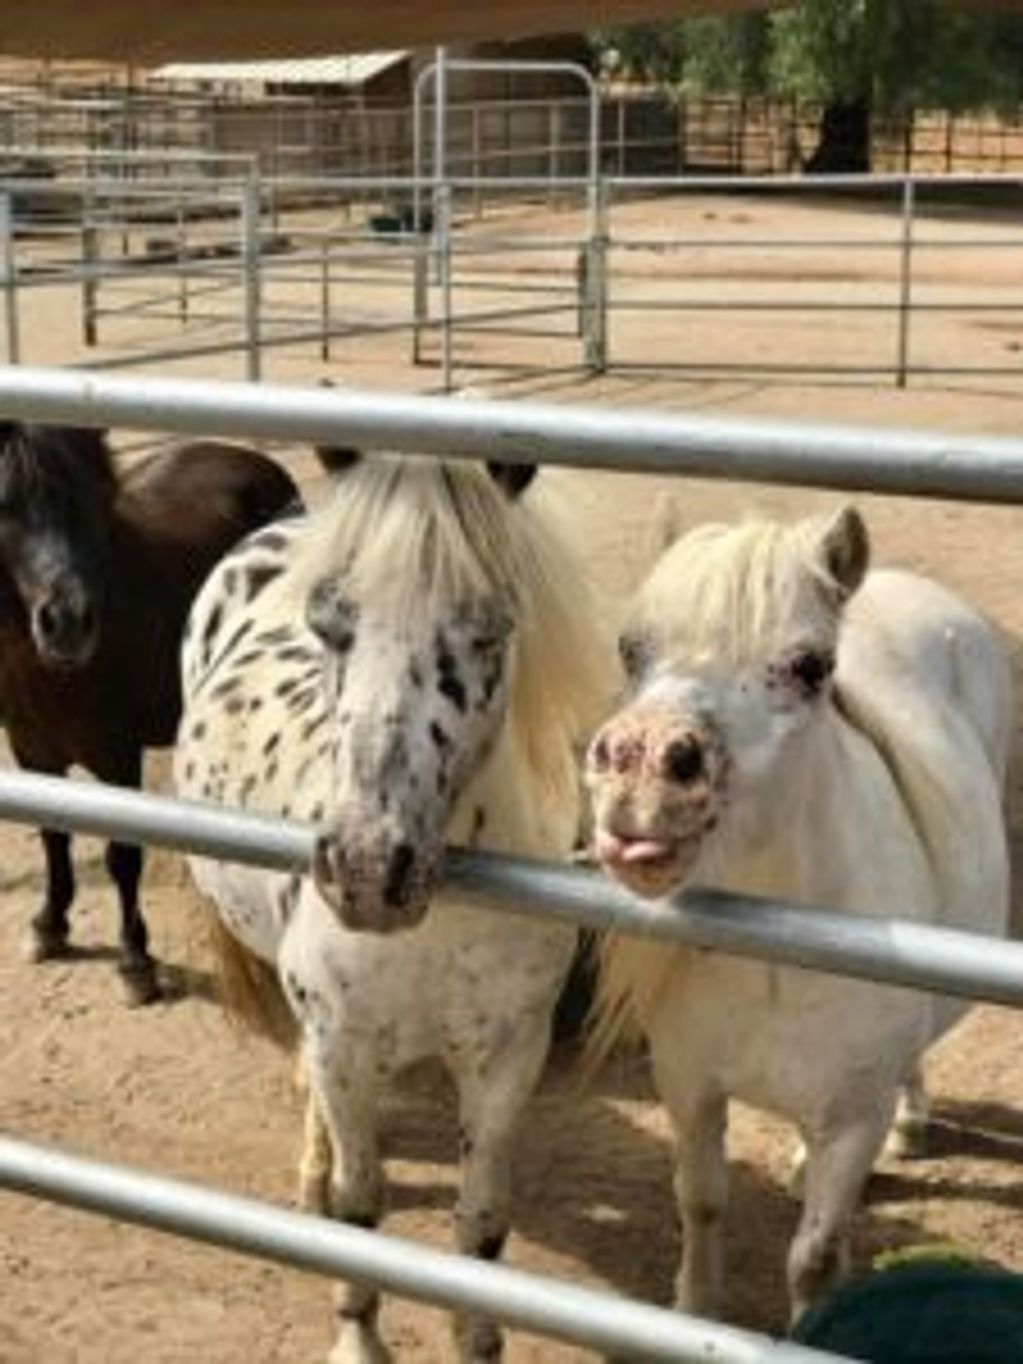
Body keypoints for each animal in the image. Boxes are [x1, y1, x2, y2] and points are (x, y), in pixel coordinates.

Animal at [0, 421, 299, 1005]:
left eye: (99, 499)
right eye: (4, 504)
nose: (67, 622)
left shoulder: (118, 755)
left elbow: (122, 854)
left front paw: (135, 961)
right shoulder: (31, 752)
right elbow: (53, 837)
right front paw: (49, 926)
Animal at [173, 452, 607, 1363]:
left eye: (488, 632)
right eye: (329, 626)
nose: (368, 871)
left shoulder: (508, 1058)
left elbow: (480, 1226)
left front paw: (476, 1340)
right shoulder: (346, 1047)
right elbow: (359, 1210)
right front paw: (357, 1339)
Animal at [583, 505, 1011, 1325]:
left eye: (812, 667)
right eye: (629, 646)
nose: (642, 772)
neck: (778, 952)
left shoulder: (852, 1120)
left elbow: (812, 1259)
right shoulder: (688, 1085)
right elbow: (700, 1202)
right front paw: (694, 1310)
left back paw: (910, 1126)